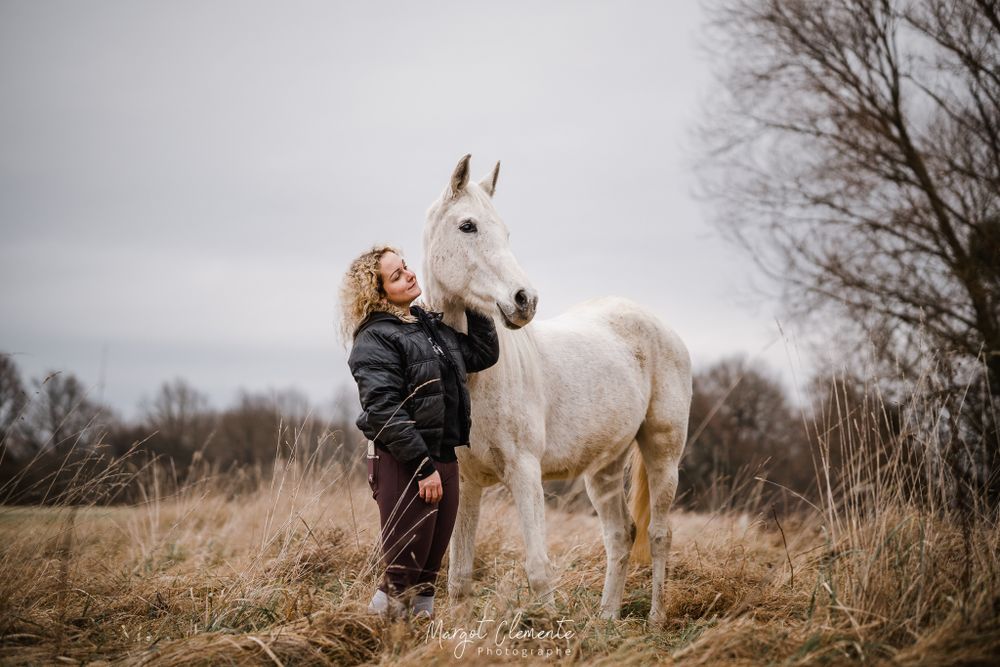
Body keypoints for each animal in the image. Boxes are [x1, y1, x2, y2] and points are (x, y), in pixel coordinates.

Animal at [419, 154, 692, 621]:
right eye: (467, 226)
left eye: (506, 231)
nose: (524, 300)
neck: (474, 371)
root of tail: (658, 325)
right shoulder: (467, 482)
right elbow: (459, 576)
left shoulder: (525, 471)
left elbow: (538, 568)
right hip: (604, 468)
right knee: (621, 535)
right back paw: (607, 617)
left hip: (663, 453)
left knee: (658, 534)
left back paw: (656, 619)